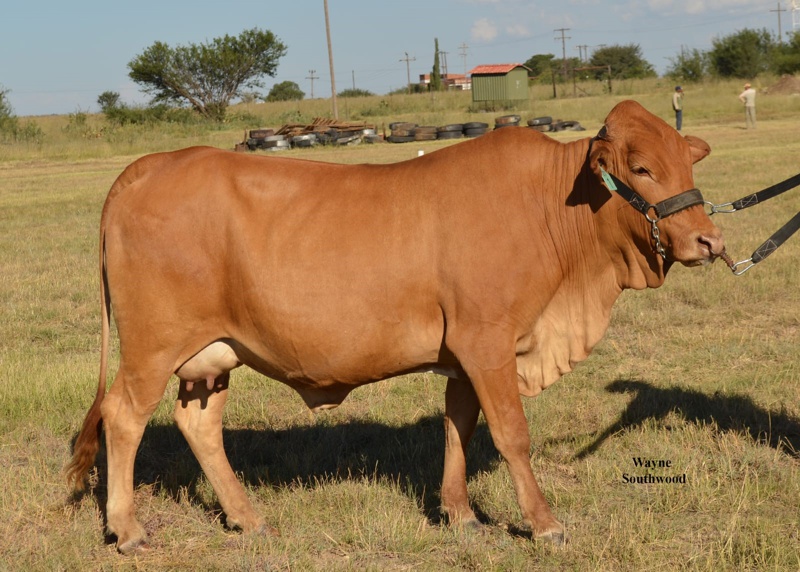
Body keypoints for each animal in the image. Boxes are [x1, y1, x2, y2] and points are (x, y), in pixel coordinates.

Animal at [66, 100, 724, 554]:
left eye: (687, 160)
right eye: (641, 167)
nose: (709, 241)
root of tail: (148, 166)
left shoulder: (462, 353)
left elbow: (459, 427)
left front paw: (461, 514)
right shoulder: (487, 340)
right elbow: (512, 434)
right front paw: (544, 524)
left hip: (211, 356)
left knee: (199, 425)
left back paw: (248, 519)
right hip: (152, 348)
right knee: (123, 418)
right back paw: (127, 528)